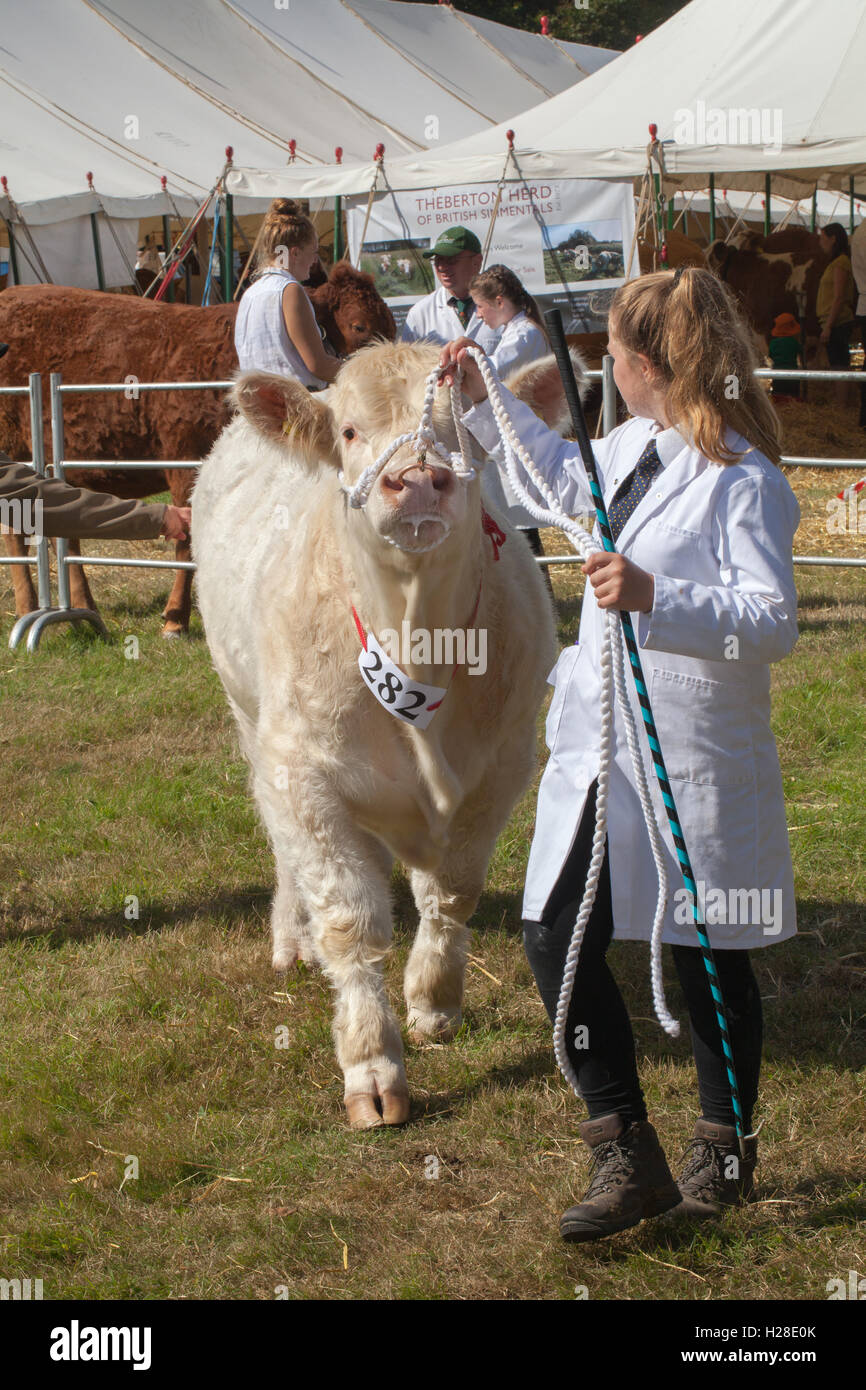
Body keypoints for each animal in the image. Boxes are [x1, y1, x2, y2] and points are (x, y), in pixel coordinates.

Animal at [0, 266, 395, 635]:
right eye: (359, 325)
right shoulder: (183, 460)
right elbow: (186, 545)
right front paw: (176, 617)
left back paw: (83, 607)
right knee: (17, 535)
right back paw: (27, 606)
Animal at [191, 341, 558, 1128]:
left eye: (466, 429)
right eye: (351, 431)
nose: (417, 479)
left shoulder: (502, 767)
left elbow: (451, 892)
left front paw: (433, 1000)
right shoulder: (302, 777)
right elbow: (350, 922)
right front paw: (372, 1064)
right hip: (249, 716)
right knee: (287, 858)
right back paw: (290, 936)